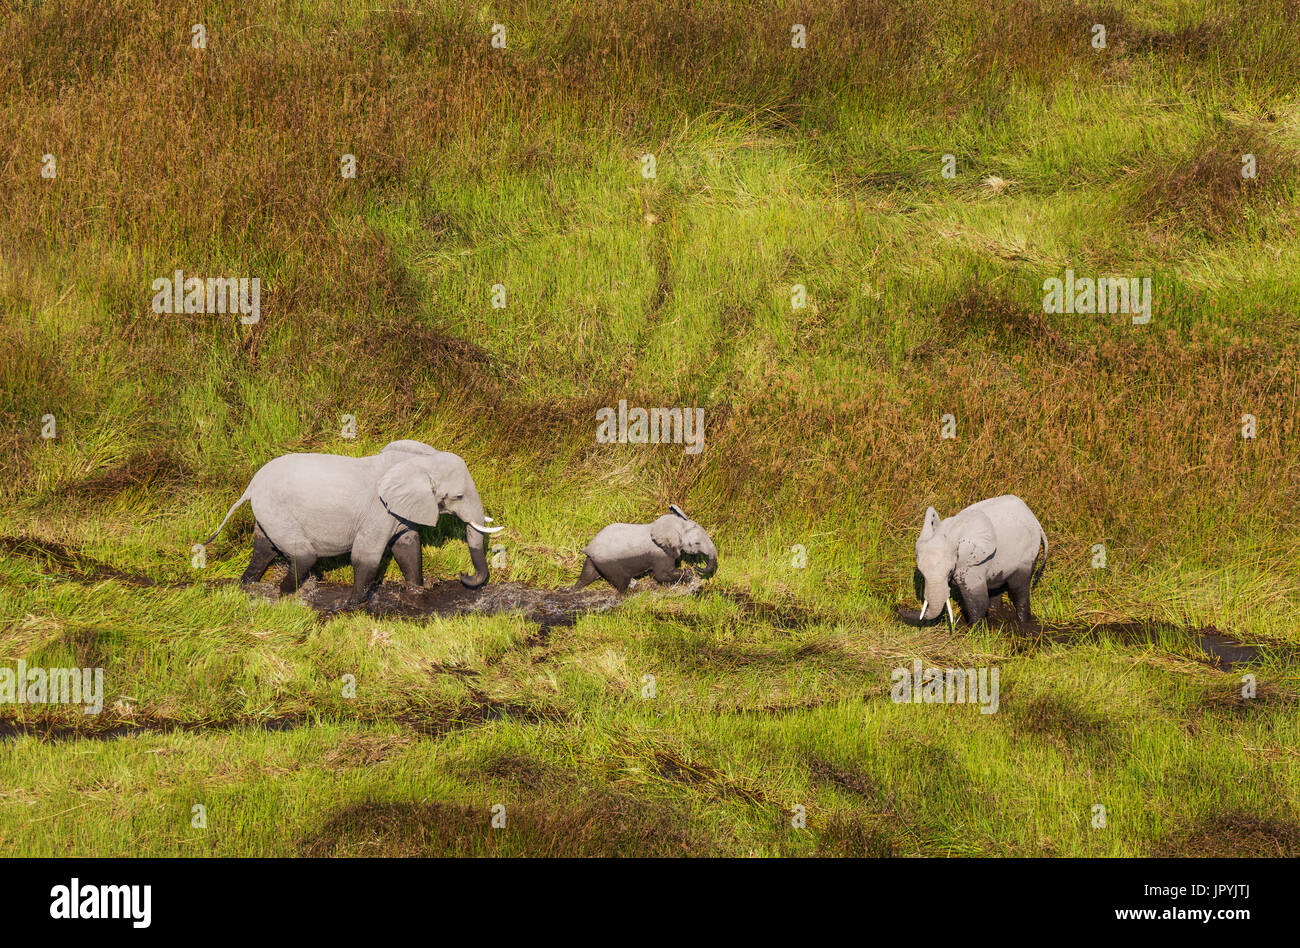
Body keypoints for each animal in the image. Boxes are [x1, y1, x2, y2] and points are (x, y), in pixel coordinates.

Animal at [205, 439, 503, 604]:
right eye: (458, 496)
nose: (464, 576)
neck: (419, 462)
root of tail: (251, 486)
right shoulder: (378, 512)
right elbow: (367, 555)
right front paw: (351, 604)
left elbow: (408, 547)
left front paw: (416, 593)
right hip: (275, 509)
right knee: (303, 555)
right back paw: (284, 593)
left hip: (266, 511)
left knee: (264, 547)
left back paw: (247, 586)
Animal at [571, 505, 718, 594]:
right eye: (697, 543)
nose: (696, 566)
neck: (675, 525)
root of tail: (589, 547)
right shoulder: (661, 553)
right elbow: (661, 574)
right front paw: (687, 574)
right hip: (608, 562)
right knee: (621, 581)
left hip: (594, 560)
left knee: (587, 576)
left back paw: (573, 590)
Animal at [914, 494, 1047, 626]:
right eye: (922, 573)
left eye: (950, 570)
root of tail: (1033, 517)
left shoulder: (972, 563)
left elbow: (979, 601)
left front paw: (974, 629)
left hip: (1028, 552)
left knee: (1018, 587)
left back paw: (1023, 623)